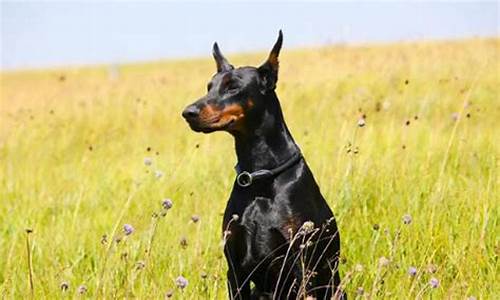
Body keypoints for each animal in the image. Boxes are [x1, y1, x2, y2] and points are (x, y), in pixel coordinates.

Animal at [183, 31, 344, 298]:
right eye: (209, 87)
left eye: (233, 87)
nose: (188, 113)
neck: (259, 176)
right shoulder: (235, 270)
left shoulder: (301, 266)